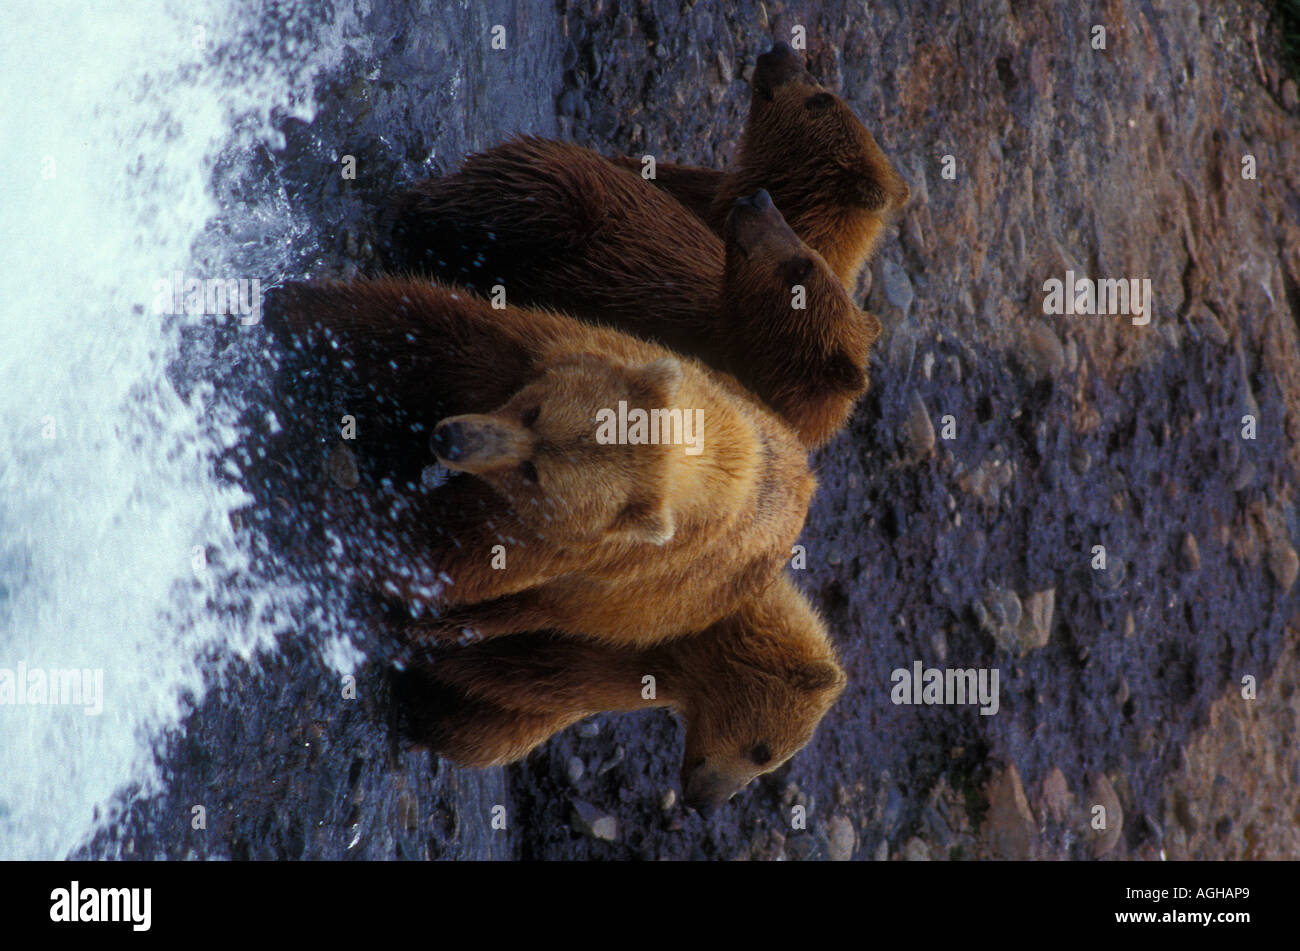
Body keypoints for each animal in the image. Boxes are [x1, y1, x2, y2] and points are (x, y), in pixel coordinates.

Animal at [263, 277, 815, 649]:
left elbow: (450, 552)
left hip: (630, 612)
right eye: (535, 413)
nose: (449, 439)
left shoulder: (569, 546)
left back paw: (426, 627)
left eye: (535, 474)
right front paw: (294, 304)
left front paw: (322, 511)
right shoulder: (552, 352)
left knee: (523, 613)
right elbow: (440, 333)